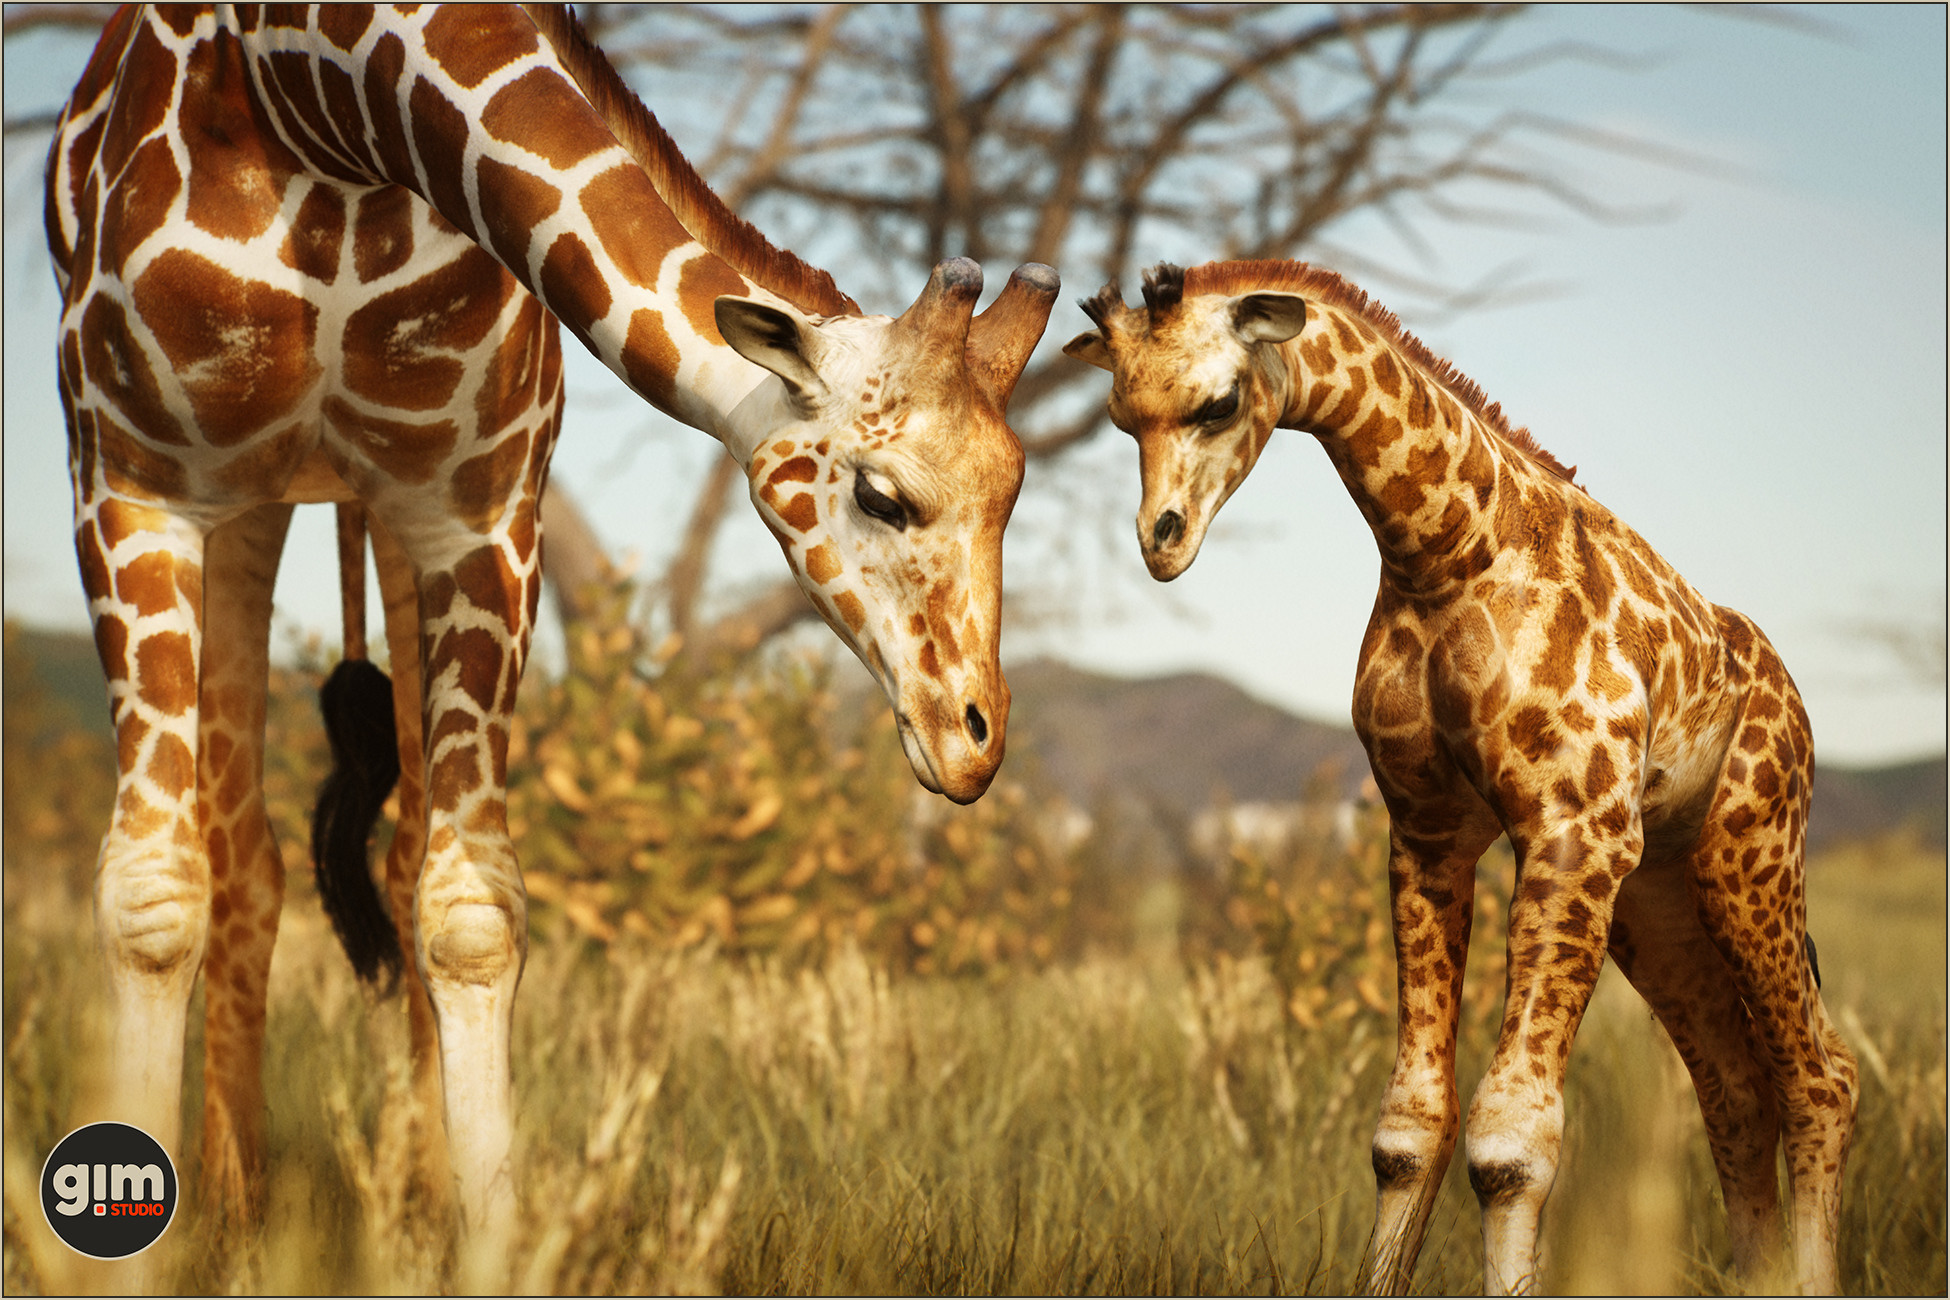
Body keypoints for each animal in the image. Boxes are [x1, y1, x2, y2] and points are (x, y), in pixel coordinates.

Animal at [45, 3, 1055, 1282]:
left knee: (386, 851)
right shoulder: (134, 480)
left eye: (1015, 493)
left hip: (370, 518)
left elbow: (469, 912)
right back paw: (234, 1212)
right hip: (250, 507)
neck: (318, 100)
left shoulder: (475, 504)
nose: (974, 740)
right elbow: (152, 896)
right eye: (882, 494)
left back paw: (395, 1205)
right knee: (243, 857)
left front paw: (476, 1242)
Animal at [1065, 261, 1857, 1295]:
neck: (1448, 552)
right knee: (1734, 1087)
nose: (1162, 542)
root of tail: (1792, 703)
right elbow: (1407, 1131)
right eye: (1121, 416)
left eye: (1220, 401)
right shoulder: (1428, 832)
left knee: (1820, 1078)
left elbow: (1510, 1142)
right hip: (1657, 898)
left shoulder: (1571, 829)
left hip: (1746, 853)